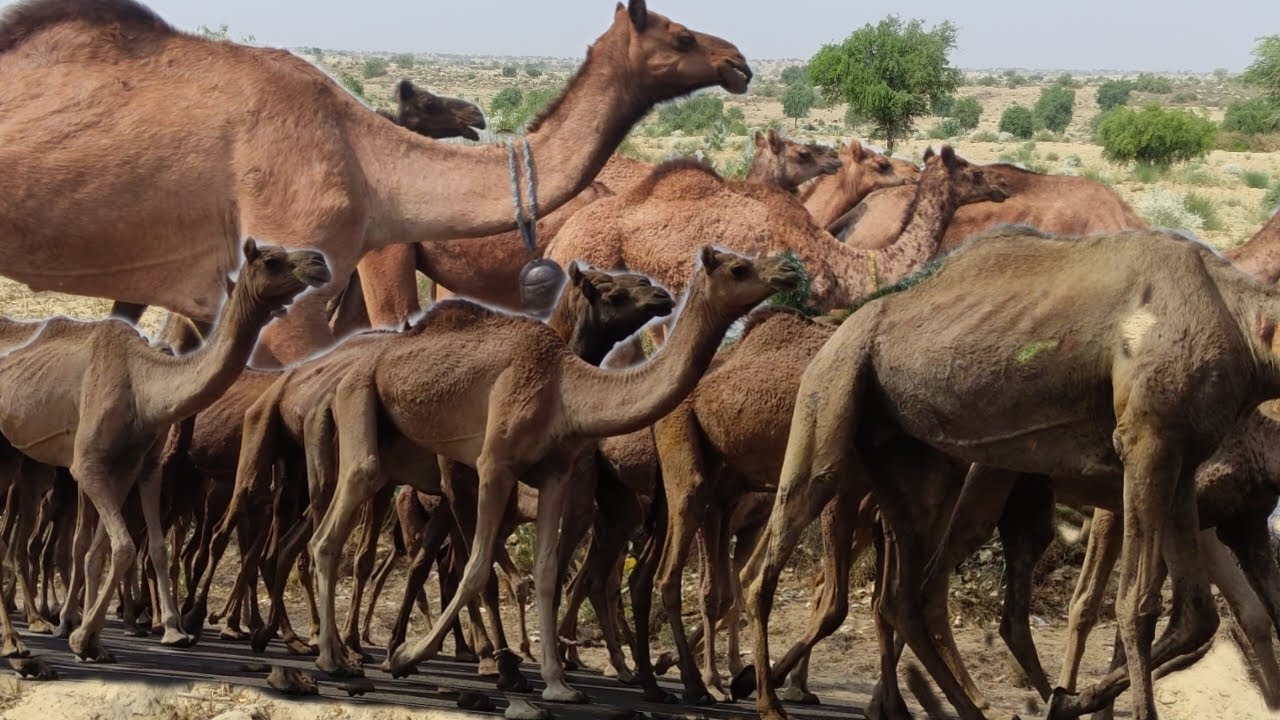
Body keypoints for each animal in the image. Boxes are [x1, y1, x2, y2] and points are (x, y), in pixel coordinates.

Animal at [0, 239, 328, 663]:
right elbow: (122, 546)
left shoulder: (127, 467)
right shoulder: (88, 465)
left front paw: (100, 637)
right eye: (271, 261)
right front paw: (84, 635)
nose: (319, 262)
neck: (143, 384)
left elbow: (115, 548)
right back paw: (20, 637)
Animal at [295, 247, 799, 706]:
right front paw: (411, 658)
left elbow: (546, 571)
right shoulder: (494, 463)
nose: (786, 269)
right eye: (738, 267)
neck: (565, 385)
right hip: (360, 402)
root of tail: (337, 376)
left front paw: (559, 684)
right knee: (334, 528)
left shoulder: (557, 473)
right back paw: (334, 658)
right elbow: (478, 567)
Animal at [742, 226, 1280, 720]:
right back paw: (768, 699)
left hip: (913, 461)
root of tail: (840, 326)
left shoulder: (1182, 458)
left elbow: (1197, 614)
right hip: (831, 394)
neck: (1244, 323)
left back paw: (959, 707)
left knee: (900, 598)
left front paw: (1066, 700)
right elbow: (1138, 604)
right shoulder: (1148, 440)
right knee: (775, 558)